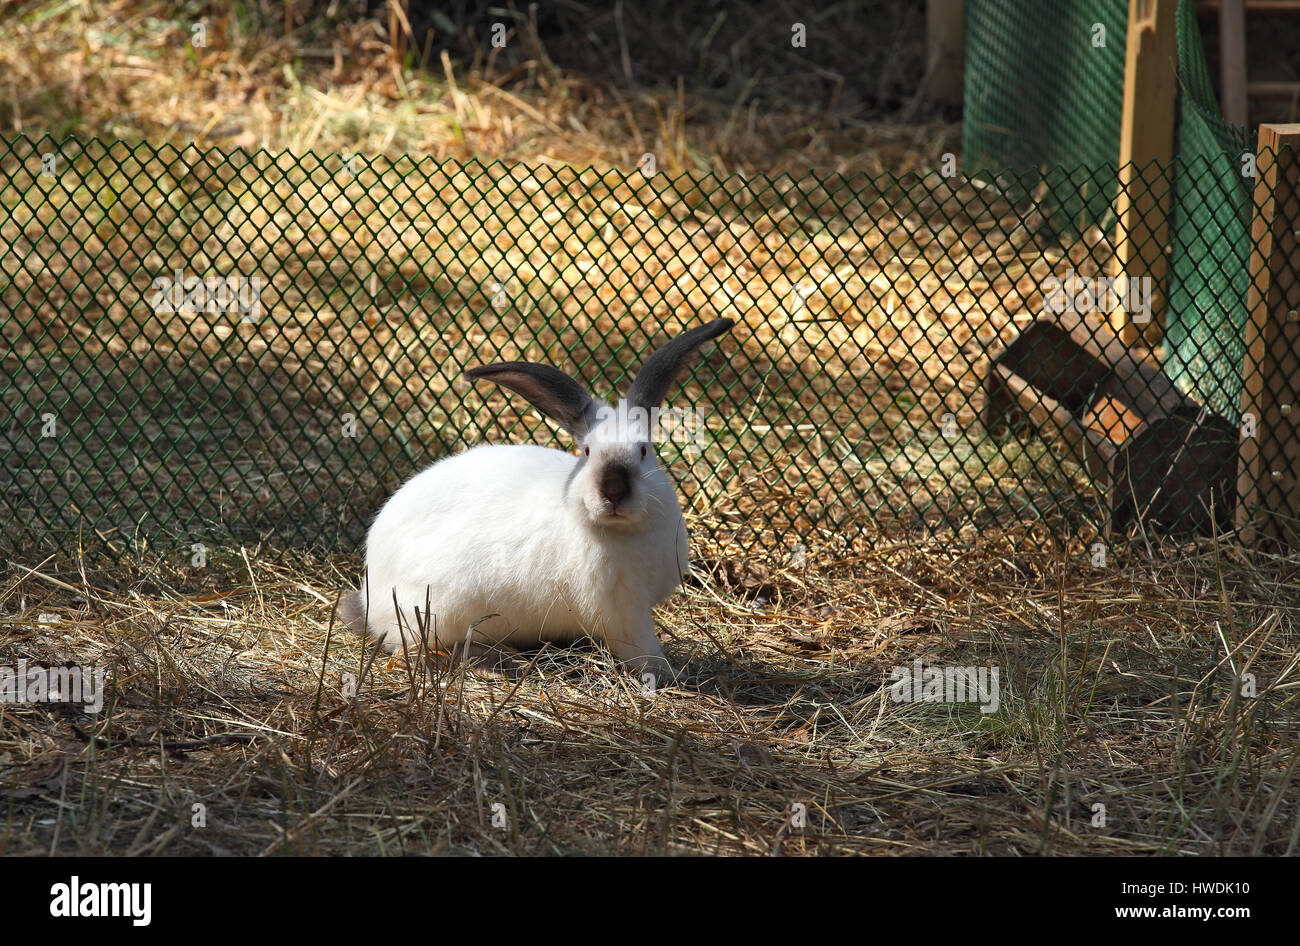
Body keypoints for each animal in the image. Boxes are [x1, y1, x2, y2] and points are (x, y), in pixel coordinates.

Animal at [337, 317, 735, 679]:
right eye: (587, 452)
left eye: (643, 451)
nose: (613, 491)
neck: (621, 531)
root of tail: (371, 596)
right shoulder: (624, 613)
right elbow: (644, 651)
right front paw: (671, 675)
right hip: (435, 612)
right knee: (419, 649)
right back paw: (498, 658)